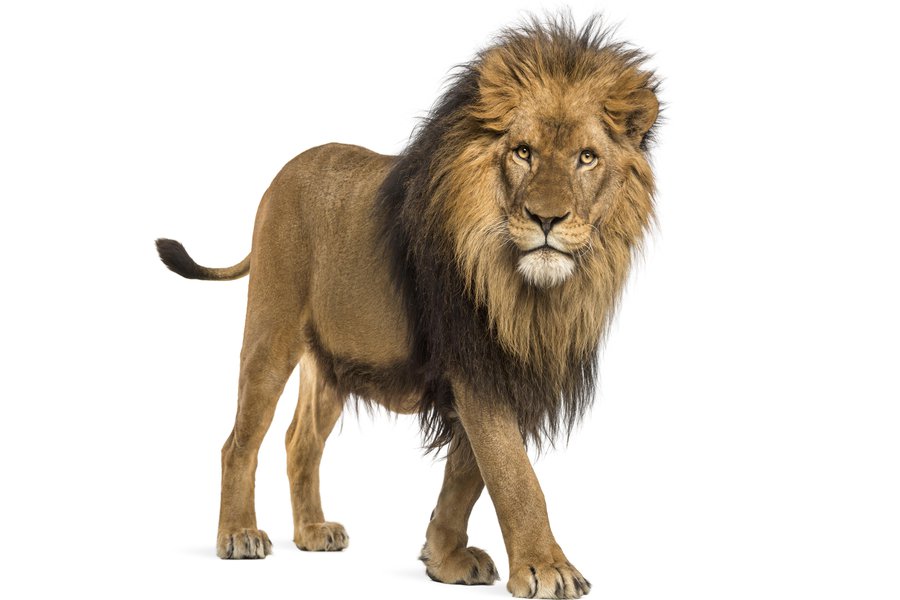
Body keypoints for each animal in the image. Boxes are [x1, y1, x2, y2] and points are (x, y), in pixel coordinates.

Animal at [156, 15, 659, 599]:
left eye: (587, 157)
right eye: (523, 152)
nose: (546, 219)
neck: (531, 292)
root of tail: (284, 172)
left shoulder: (501, 369)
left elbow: (467, 475)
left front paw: (444, 558)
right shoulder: (475, 362)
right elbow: (512, 474)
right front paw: (546, 567)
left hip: (332, 362)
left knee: (300, 441)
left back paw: (312, 532)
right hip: (270, 333)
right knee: (238, 441)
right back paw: (238, 535)